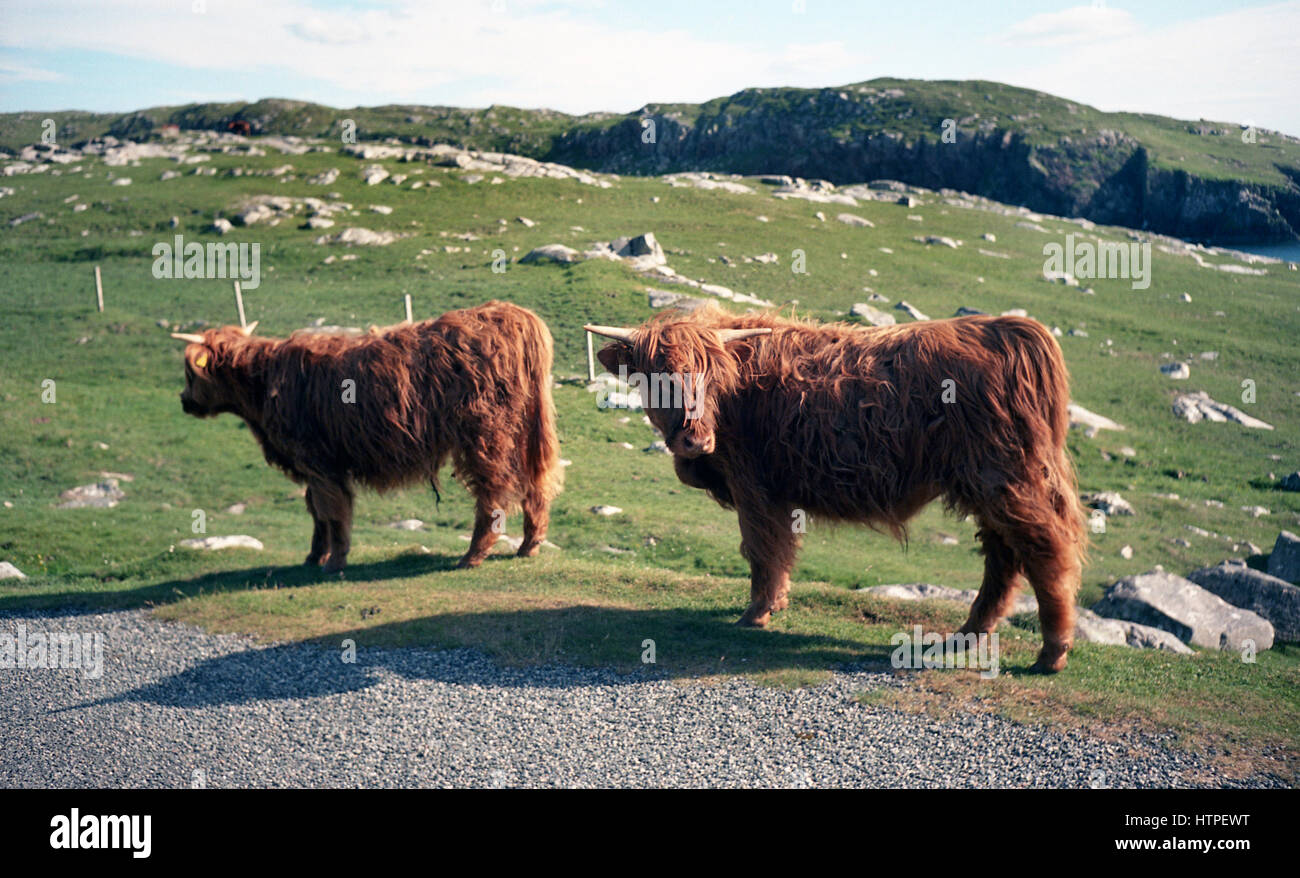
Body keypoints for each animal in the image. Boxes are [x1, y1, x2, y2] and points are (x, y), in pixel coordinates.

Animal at [172, 301, 563, 571]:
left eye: (190, 374)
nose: (183, 401)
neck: (262, 383)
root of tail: (510, 315)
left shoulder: (318, 462)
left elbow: (332, 512)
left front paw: (334, 562)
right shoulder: (317, 466)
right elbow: (316, 511)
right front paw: (314, 557)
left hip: (485, 436)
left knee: (493, 493)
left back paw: (472, 556)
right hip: (528, 430)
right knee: (536, 485)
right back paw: (528, 546)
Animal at [586, 307, 1087, 672]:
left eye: (712, 379)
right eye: (658, 379)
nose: (696, 440)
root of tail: (1003, 329)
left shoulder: (754, 486)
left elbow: (762, 548)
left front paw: (756, 614)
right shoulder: (773, 491)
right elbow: (780, 549)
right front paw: (777, 602)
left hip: (1003, 478)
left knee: (1045, 548)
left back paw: (1052, 653)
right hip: (988, 484)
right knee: (1003, 556)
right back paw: (969, 634)